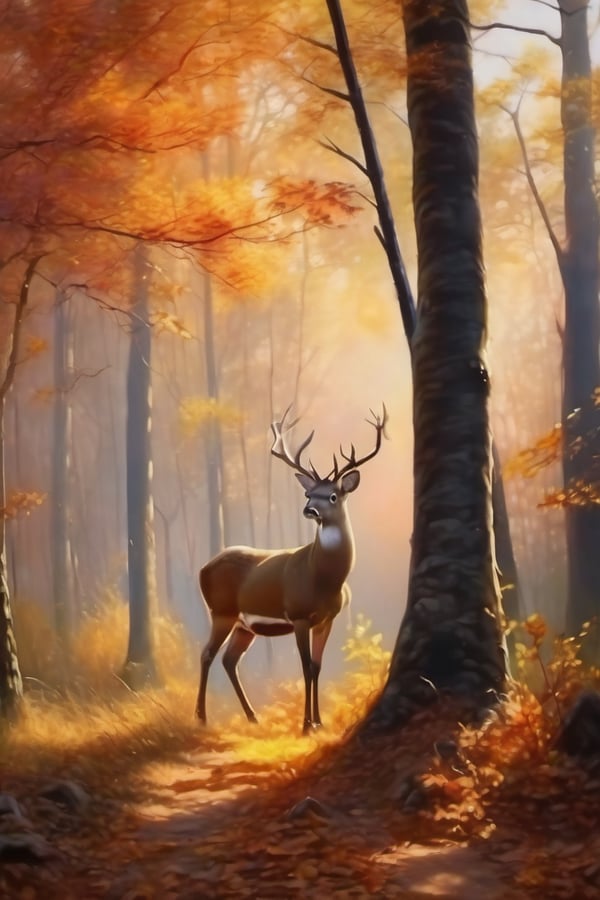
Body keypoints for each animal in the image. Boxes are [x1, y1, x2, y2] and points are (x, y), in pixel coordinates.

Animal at [195, 405, 387, 734]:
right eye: (309, 495)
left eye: (332, 495)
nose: (309, 510)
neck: (322, 579)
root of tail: (203, 569)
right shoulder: (298, 615)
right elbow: (306, 667)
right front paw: (307, 724)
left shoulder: (327, 619)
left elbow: (318, 667)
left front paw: (319, 722)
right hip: (222, 611)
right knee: (207, 654)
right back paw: (202, 718)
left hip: (245, 624)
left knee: (230, 660)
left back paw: (252, 716)